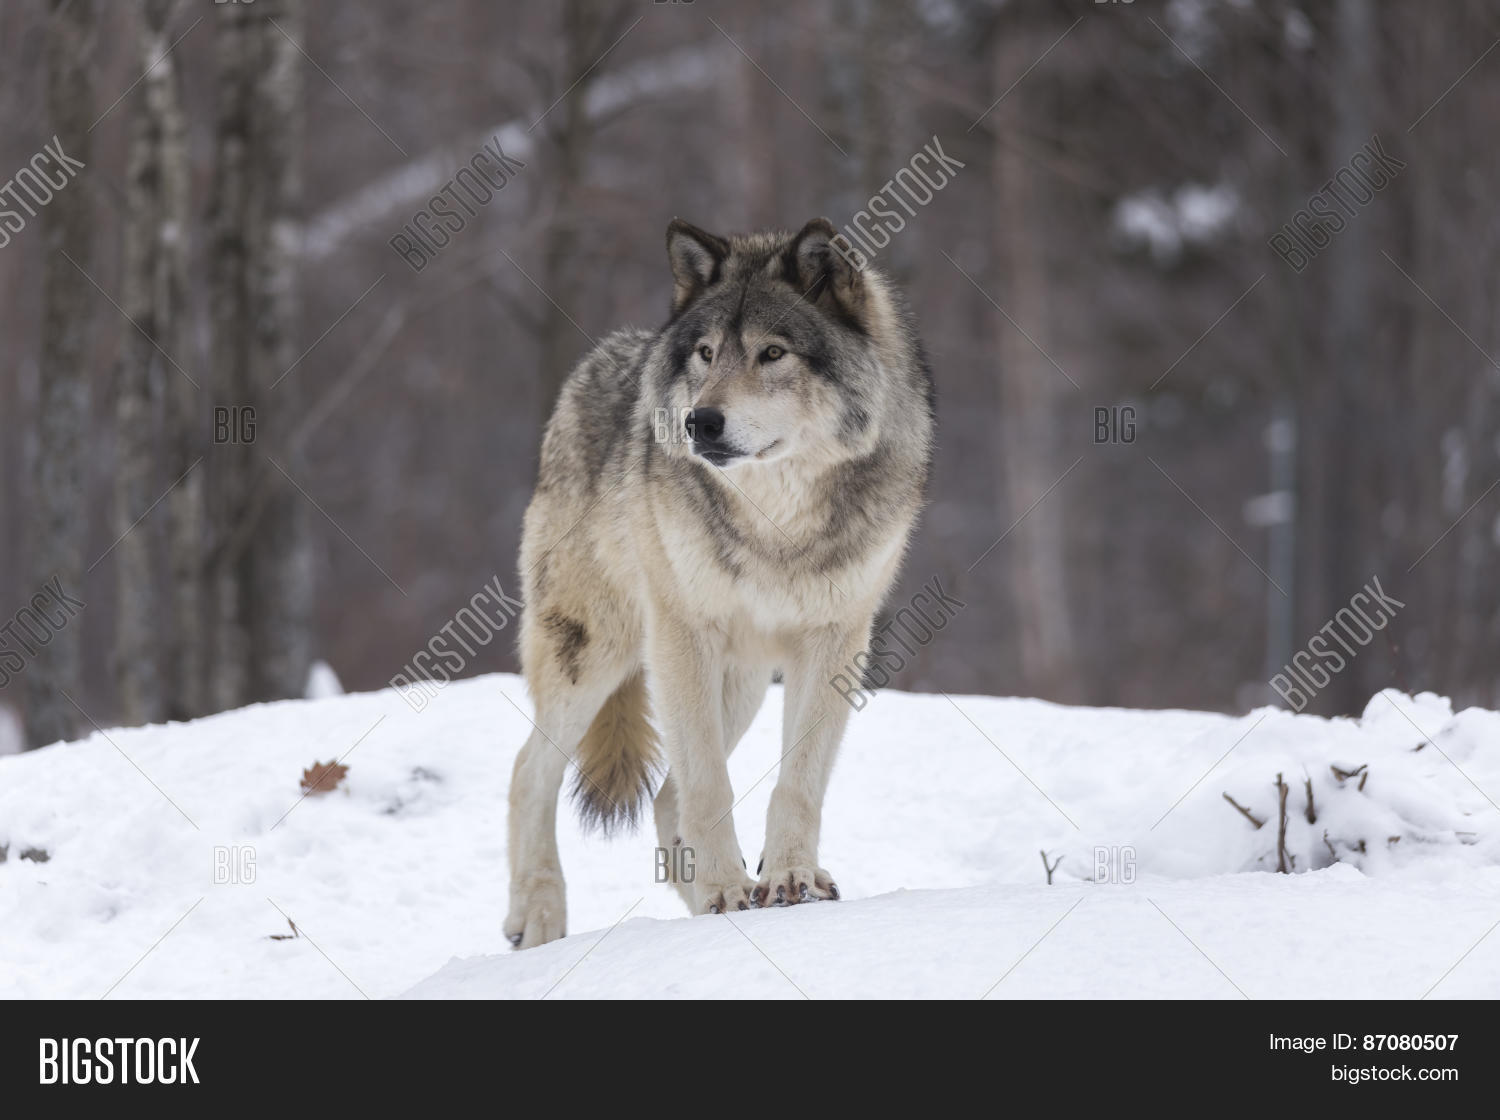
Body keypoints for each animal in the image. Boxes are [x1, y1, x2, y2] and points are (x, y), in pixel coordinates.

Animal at [504, 217, 934, 948]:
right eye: (706, 353)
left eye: (771, 353)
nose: (699, 422)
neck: (776, 524)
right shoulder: (682, 635)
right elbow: (710, 786)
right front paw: (726, 892)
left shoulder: (837, 641)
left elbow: (796, 783)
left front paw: (787, 881)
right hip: (602, 654)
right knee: (530, 771)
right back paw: (540, 917)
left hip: (741, 682)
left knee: (662, 798)